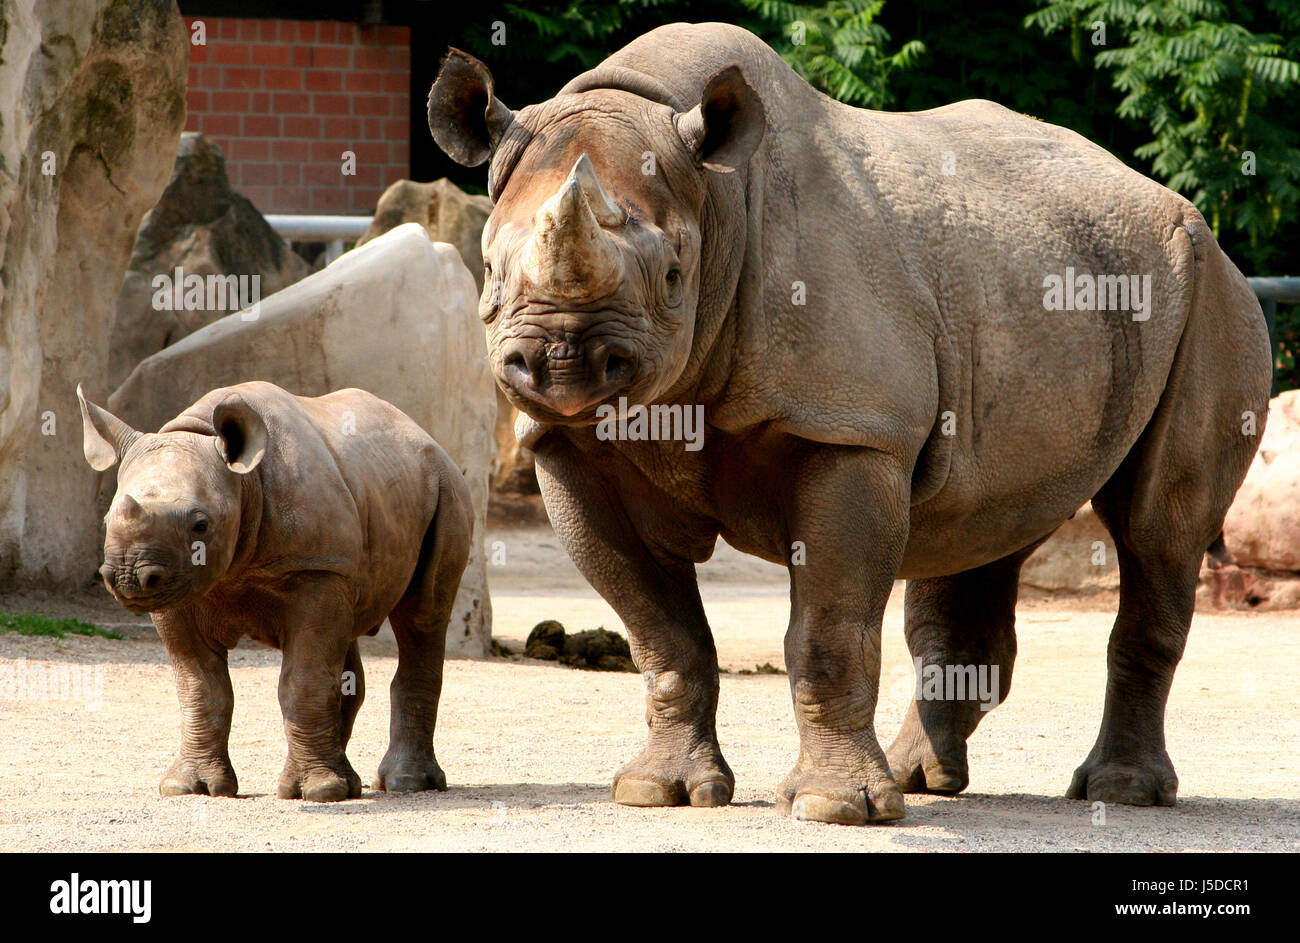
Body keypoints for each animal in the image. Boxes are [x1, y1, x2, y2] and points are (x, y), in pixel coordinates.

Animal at [77, 381, 472, 802]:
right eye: (107, 520)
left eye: (201, 525)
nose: (129, 578)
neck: (242, 483)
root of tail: (424, 435)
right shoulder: (179, 591)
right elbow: (200, 687)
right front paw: (191, 787)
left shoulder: (314, 567)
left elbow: (302, 680)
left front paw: (317, 792)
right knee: (349, 634)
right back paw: (350, 783)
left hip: (446, 487)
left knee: (423, 616)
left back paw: (405, 783)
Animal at [429, 22, 1272, 824]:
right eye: (489, 271)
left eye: (672, 276)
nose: (559, 364)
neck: (714, 200)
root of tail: (1181, 208)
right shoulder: (573, 446)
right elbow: (660, 632)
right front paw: (657, 790)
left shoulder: (850, 430)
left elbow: (829, 629)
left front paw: (836, 807)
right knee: (980, 519)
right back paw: (922, 777)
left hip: (1211, 293)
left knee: (1155, 530)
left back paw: (1119, 790)